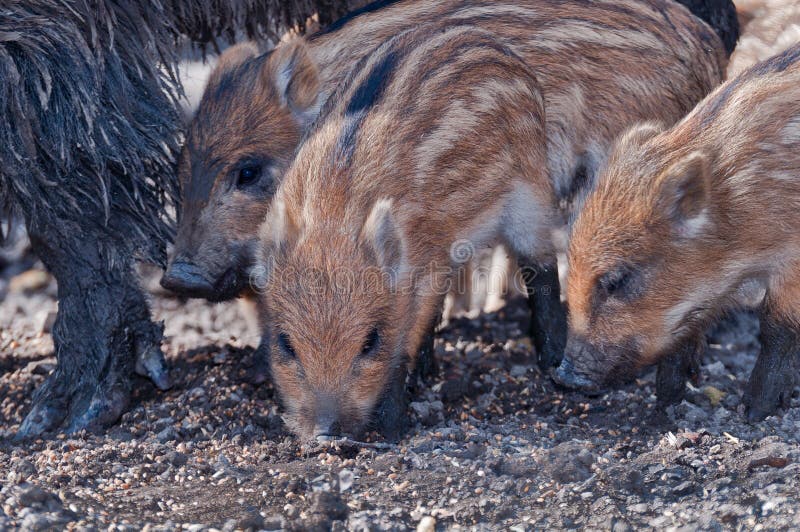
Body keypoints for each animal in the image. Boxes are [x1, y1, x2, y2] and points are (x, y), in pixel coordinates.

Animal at [254, 24, 554, 440]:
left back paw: (555, 365)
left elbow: (407, 340)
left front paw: (393, 428)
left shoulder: (428, 265)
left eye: (370, 342)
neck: (333, 214)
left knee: (543, 267)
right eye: (285, 344)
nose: (327, 431)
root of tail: (491, 41)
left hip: (532, 189)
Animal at [554, 44, 800, 421]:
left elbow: (775, 326)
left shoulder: (792, 260)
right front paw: (664, 405)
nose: (564, 377)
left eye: (617, 281)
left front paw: (753, 412)